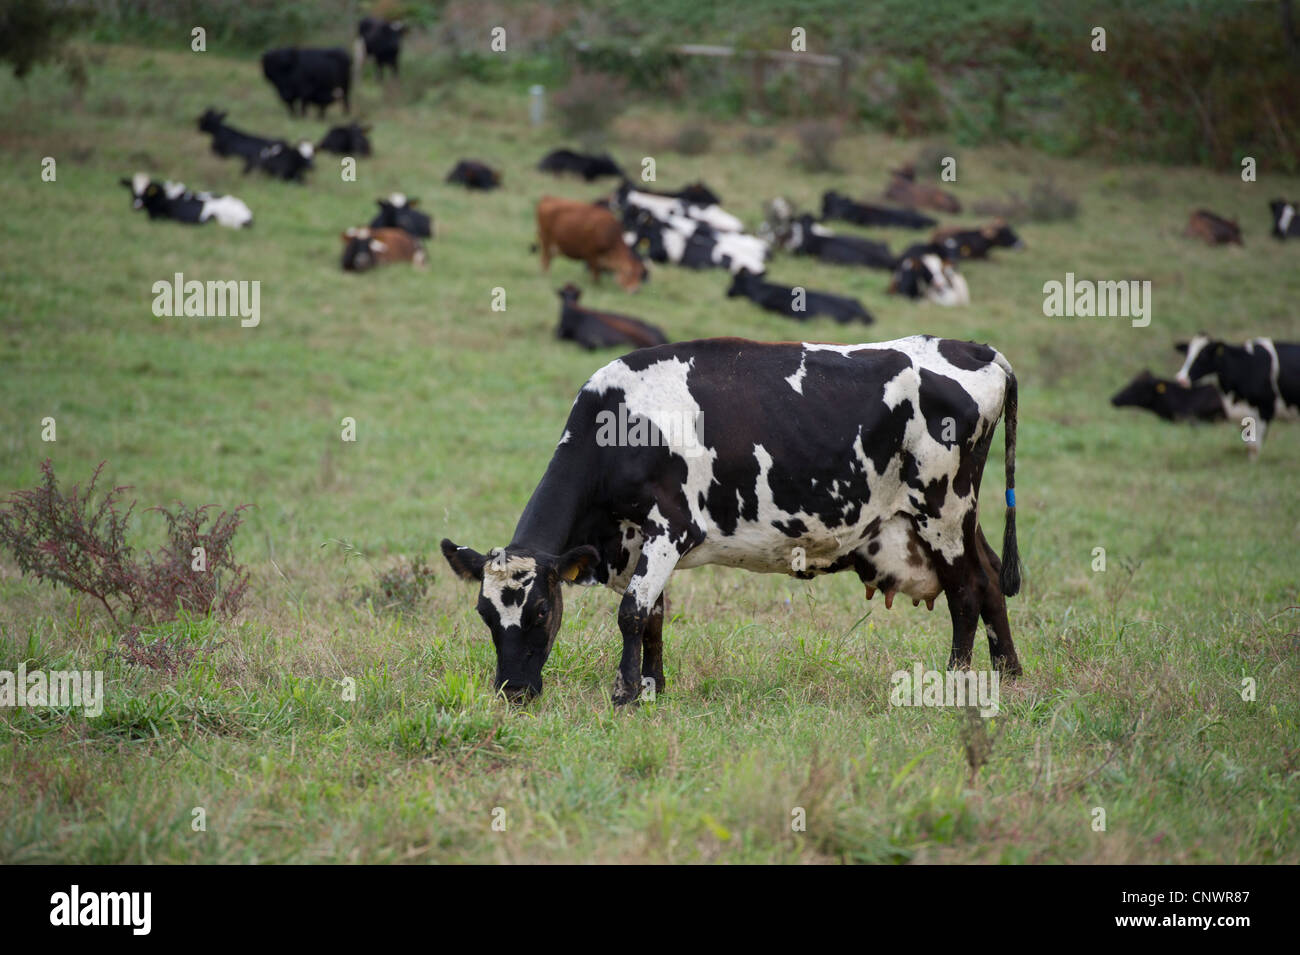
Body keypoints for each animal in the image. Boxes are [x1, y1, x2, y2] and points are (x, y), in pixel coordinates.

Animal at [441, 334, 1024, 703]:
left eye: (541, 612)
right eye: (485, 615)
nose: (513, 691)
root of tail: (977, 349)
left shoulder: (670, 528)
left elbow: (633, 613)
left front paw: (624, 694)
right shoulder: (642, 542)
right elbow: (654, 615)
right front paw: (652, 690)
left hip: (943, 509)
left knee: (967, 593)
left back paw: (955, 683)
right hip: (956, 515)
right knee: (992, 579)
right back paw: (1011, 676)